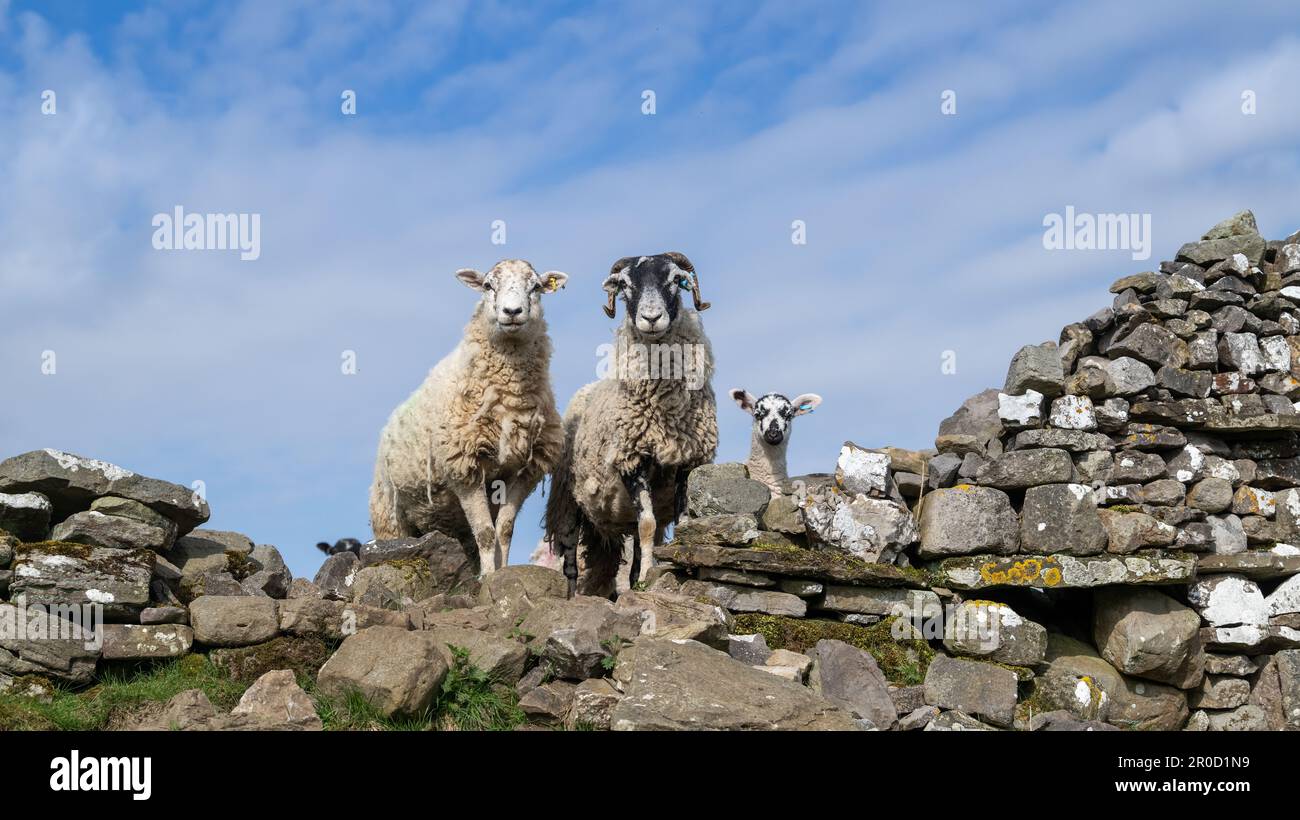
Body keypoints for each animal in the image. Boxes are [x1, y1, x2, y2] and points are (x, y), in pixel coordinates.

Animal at [369, 259, 568, 576]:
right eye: (488, 285)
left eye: (536, 286)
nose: (512, 312)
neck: (508, 398)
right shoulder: (464, 467)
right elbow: (486, 532)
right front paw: (487, 576)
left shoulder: (523, 472)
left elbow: (503, 530)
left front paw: (501, 571)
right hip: (389, 514)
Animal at [545, 252, 718, 598]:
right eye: (624, 284)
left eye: (676, 279)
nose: (651, 318)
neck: (665, 413)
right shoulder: (631, 458)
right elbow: (648, 524)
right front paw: (650, 573)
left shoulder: (687, 461)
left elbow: (680, 523)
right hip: (566, 499)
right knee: (570, 559)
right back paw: (571, 596)